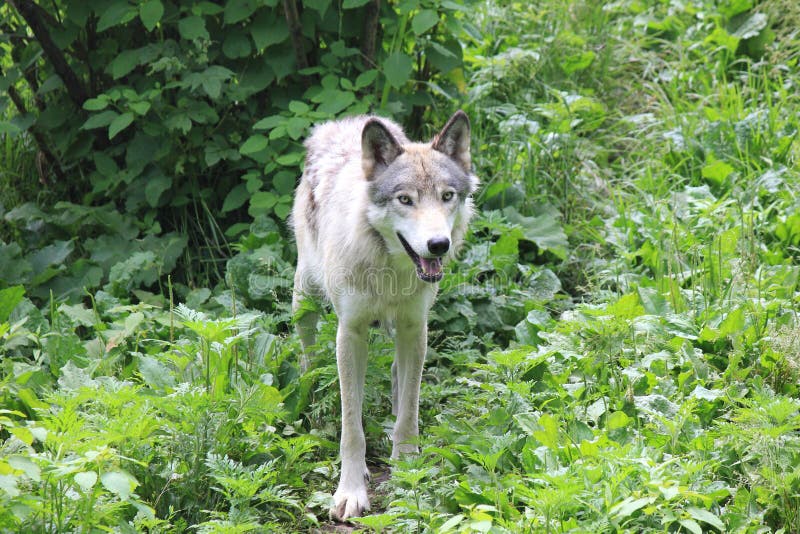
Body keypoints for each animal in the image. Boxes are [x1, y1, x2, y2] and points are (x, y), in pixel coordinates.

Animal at [291, 110, 478, 521]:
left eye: (447, 196)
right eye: (405, 199)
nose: (438, 244)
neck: (388, 268)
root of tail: (346, 121)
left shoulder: (414, 327)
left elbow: (409, 411)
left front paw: (407, 468)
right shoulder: (350, 334)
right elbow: (352, 426)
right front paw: (350, 492)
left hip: (404, 334)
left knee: (396, 376)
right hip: (304, 297)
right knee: (308, 358)